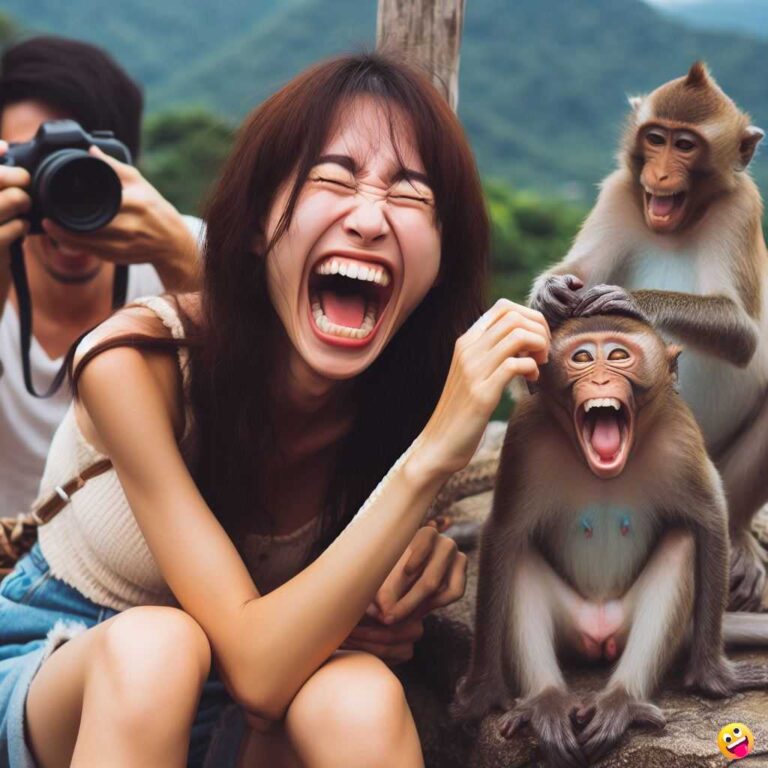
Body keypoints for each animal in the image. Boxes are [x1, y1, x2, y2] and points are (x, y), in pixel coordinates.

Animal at [452, 284, 768, 768]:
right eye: (582, 358)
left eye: (618, 356)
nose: (600, 380)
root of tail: (599, 633)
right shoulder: (524, 439)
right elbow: (503, 534)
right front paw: (482, 691)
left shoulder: (681, 435)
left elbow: (711, 521)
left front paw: (713, 675)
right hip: (571, 624)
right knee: (520, 554)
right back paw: (547, 701)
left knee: (681, 544)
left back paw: (623, 700)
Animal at [529, 62, 768, 611]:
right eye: (656, 138)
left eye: (686, 145)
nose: (657, 175)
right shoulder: (621, 191)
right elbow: (574, 275)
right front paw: (551, 291)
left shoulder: (742, 207)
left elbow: (743, 334)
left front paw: (628, 300)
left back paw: (740, 540)